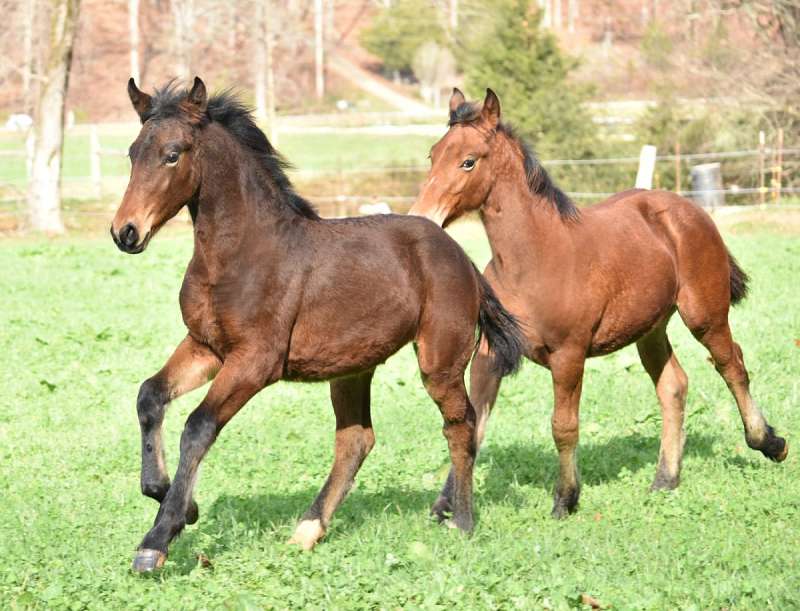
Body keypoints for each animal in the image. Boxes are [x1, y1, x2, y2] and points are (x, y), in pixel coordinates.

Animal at [110, 78, 524, 572]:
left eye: (172, 154)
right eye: (133, 152)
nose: (125, 232)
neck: (240, 254)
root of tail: (463, 259)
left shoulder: (255, 361)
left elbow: (198, 426)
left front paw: (159, 537)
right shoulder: (204, 346)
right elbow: (149, 396)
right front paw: (176, 499)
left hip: (438, 363)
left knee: (460, 424)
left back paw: (461, 521)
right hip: (351, 368)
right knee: (356, 440)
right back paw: (308, 530)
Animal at [409, 88, 788, 521]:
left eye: (468, 161)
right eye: (433, 155)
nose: (422, 218)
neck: (534, 258)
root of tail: (687, 209)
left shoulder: (569, 355)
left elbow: (563, 425)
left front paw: (565, 498)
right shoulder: (490, 355)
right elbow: (473, 422)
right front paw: (445, 504)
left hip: (705, 315)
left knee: (732, 365)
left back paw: (770, 443)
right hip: (650, 328)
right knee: (673, 385)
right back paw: (665, 478)